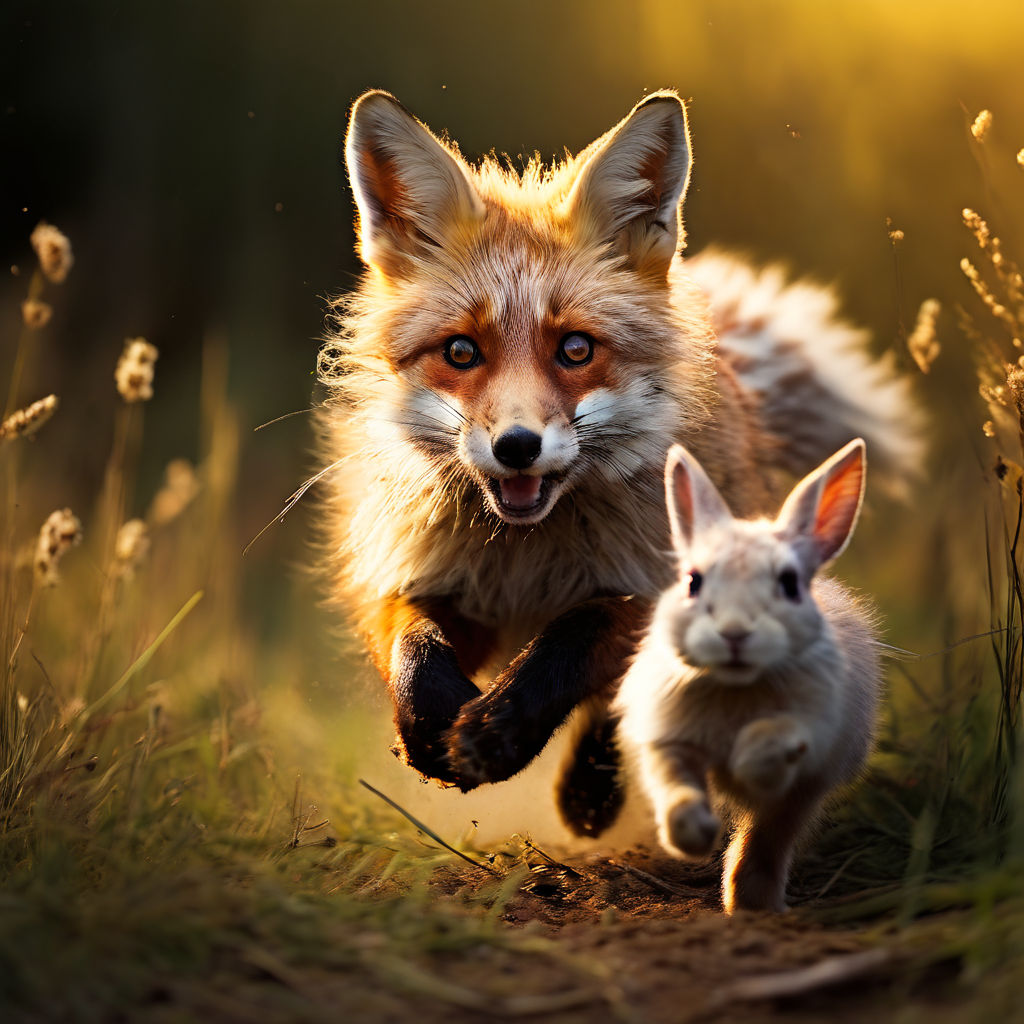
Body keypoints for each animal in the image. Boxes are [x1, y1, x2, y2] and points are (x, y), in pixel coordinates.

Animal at [316, 88, 919, 836]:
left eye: (576, 349)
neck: (524, 563)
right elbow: (412, 639)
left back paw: (591, 788)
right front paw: (429, 722)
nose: (517, 446)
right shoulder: (417, 571)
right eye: (460, 352)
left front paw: (500, 730)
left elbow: (577, 637)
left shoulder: (648, 584)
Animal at [614, 438, 880, 913]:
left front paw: (750, 770)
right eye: (693, 581)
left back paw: (753, 905)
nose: (734, 633)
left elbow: (770, 742)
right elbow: (677, 790)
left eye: (789, 584)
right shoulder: (671, 742)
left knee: (770, 839)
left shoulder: (808, 734)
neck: (737, 684)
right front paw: (694, 838)